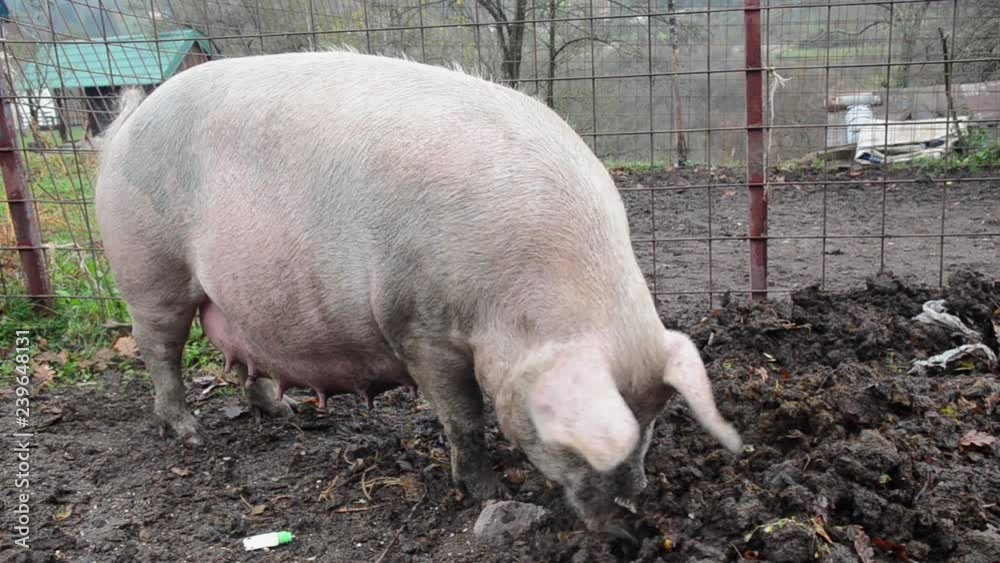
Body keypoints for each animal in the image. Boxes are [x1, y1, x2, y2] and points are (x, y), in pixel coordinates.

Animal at [94, 49, 742, 536]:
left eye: (651, 425)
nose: (630, 518)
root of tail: (128, 124)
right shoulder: (419, 326)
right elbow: (464, 418)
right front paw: (485, 492)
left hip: (233, 299)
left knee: (242, 354)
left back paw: (286, 412)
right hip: (149, 270)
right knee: (159, 352)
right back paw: (190, 434)